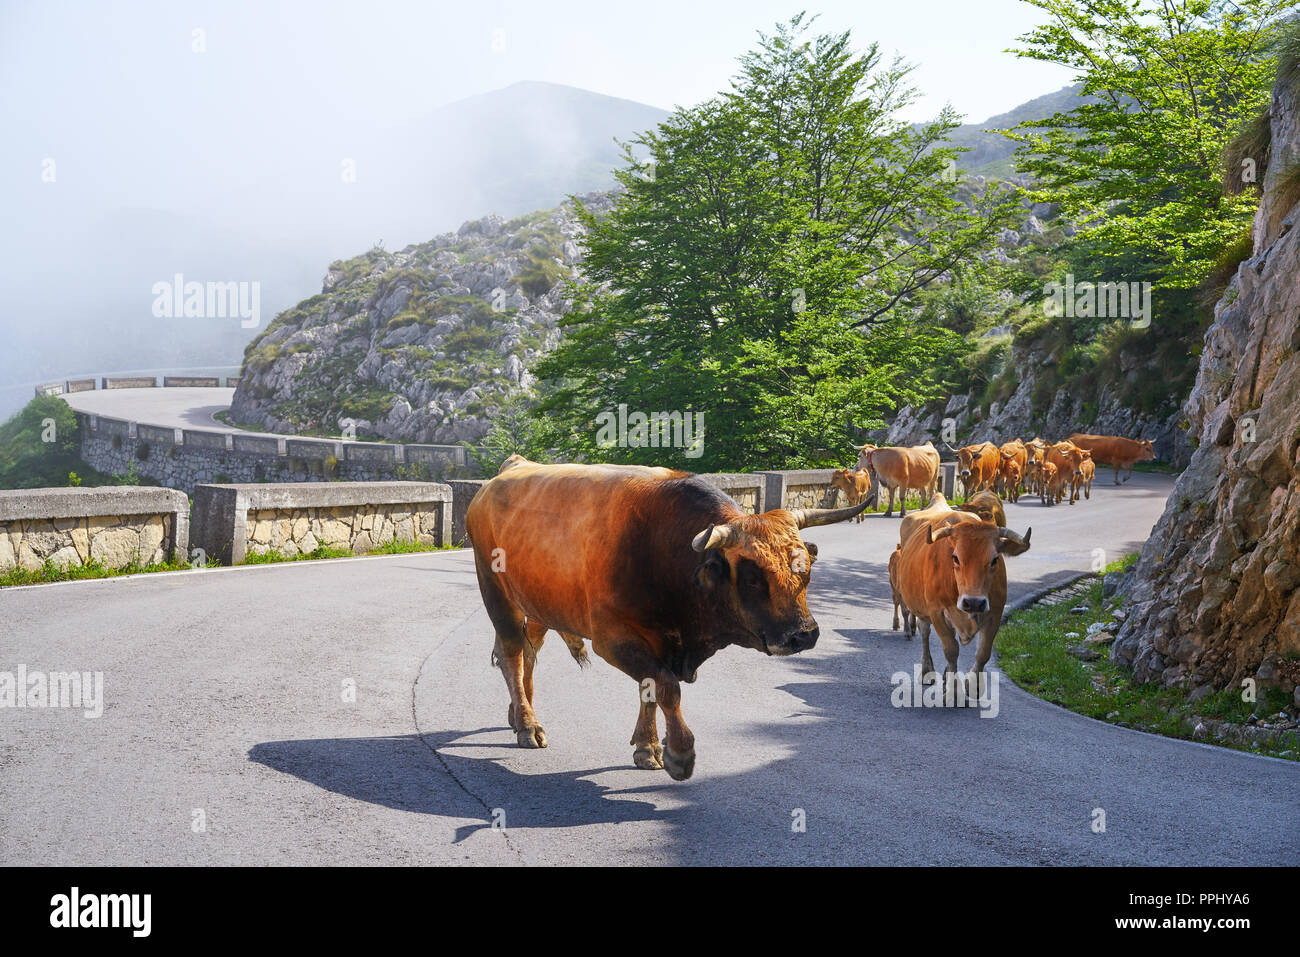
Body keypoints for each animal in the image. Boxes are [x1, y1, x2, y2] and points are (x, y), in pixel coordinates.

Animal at [465, 455, 870, 780]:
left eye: (806, 570)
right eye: (753, 578)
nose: (804, 634)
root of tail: (512, 468)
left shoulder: (658, 644)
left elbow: (649, 689)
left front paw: (647, 747)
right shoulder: (614, 640)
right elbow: (665, 687)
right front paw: (679, 753)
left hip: (541, 603)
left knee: (527, 652)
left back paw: (519, 711)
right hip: (496, 591)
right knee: (513, 652)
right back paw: (527, 724)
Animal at [895, 510, 1031, 698]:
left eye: (995, 559)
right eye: (955, 558)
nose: (973, 602)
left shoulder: (996, 613)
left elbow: (983, 653)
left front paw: (973, 685)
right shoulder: (936, 612)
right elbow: (951, 650)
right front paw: (953, 692)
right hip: (922, 611)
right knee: (925, 633)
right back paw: (926, 670)